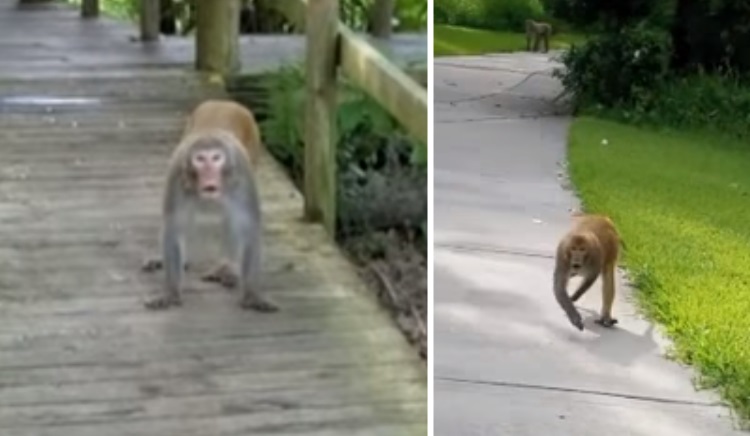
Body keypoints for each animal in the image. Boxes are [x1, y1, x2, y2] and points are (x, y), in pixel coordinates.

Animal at [143, 99, 277, 313]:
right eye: (200, 159)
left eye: (216, 158)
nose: (208, 173)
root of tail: (224, 102)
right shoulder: (177, 173)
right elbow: (174, 225)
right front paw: (171, 293)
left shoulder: (242, 173)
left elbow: (248, 227)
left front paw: (252, 295)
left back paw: (226, 267)